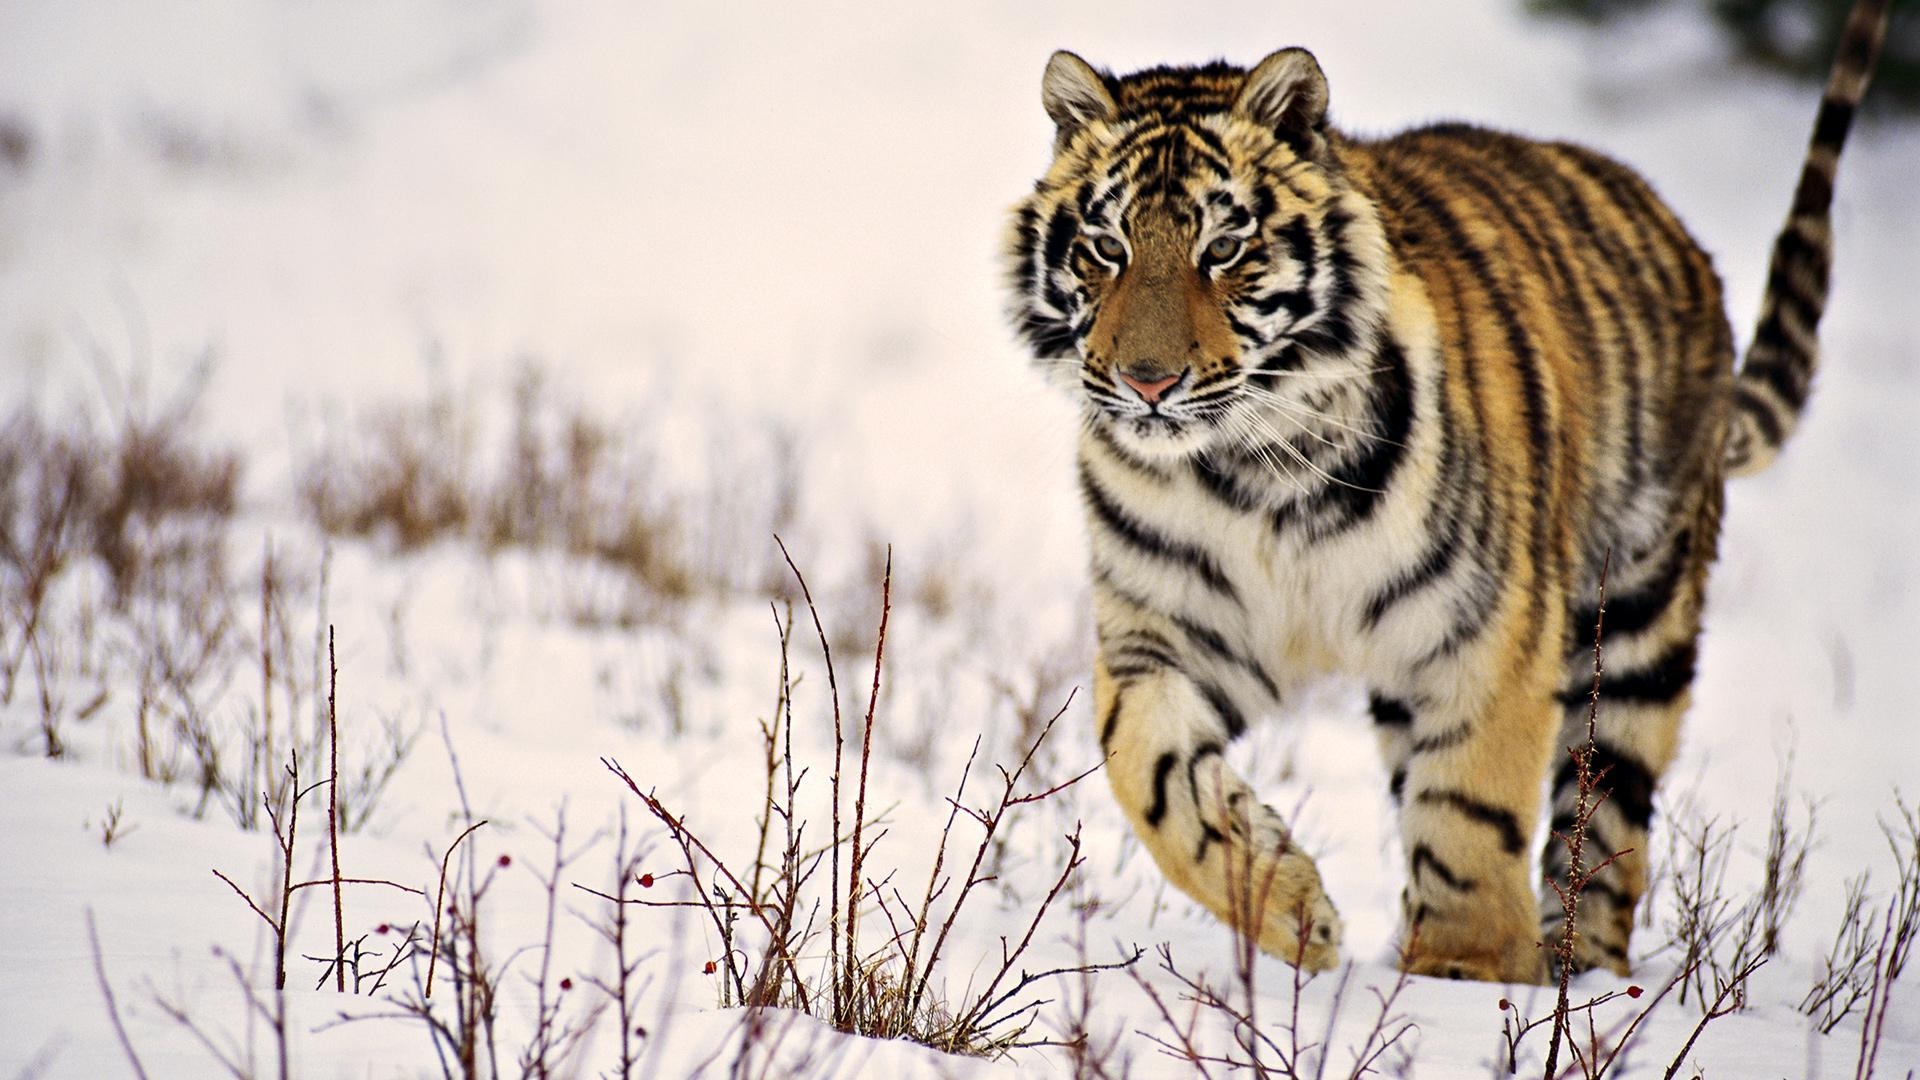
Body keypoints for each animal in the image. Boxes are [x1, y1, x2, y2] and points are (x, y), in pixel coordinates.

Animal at [1004, 0, 1893, 983]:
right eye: (1106, 248)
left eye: (1224, 249)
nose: (1148, 381)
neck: (1254, 470)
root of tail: (1673, 228)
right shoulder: (1166, 630)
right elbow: (1149, 770)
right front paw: (1293, 910)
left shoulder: (1489, 629)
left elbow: (1470, 806)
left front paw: (1461, 975)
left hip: (1637, 624)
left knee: (1607, 823)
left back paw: (1581, 975)